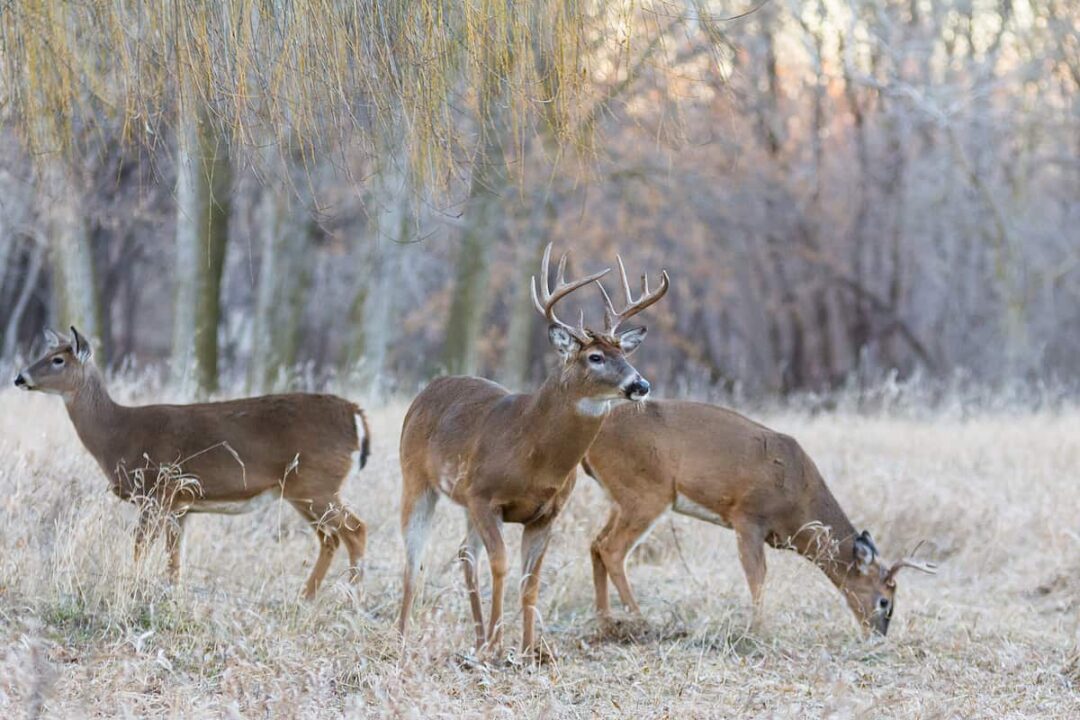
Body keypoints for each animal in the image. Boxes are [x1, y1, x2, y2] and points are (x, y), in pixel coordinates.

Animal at [14, 327, 371, 599]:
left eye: (57, 360)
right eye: (47, 353)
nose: (19, 377)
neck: (116, 434)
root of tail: (354, 414)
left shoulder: (157, 491)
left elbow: (140, 547)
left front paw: (131, 588)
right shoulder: (181, 504)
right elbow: (174, 559)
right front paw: (171, 596)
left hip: (316, 484)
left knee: (355, 529)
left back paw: (350, 596)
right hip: (303, 490)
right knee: (330, 537)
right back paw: (306, 596)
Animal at [396, 243, 669, 659]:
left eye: (625, 353)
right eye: (595, 357)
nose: (641, 384)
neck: (533, 454)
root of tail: (427, 390)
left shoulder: (545, 514)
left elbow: (530, 582)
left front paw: (527, 651)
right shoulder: (485, 497)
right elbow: (501, 567)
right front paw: (497, 646)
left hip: (462, 501)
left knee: (464, 554)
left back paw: (477, 638)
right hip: (415, 477)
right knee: (414, 555)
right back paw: (402, 635)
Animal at [583, 400, 937, 636]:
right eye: (885, 601)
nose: (878, 635)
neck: (800, 494)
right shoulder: (748, 517)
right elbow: (757, 575)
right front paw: (759, 628)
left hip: (620, 498)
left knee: (595, 544)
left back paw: (605, 621)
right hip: (647, 494)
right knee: (612, 549)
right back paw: (640, 621)